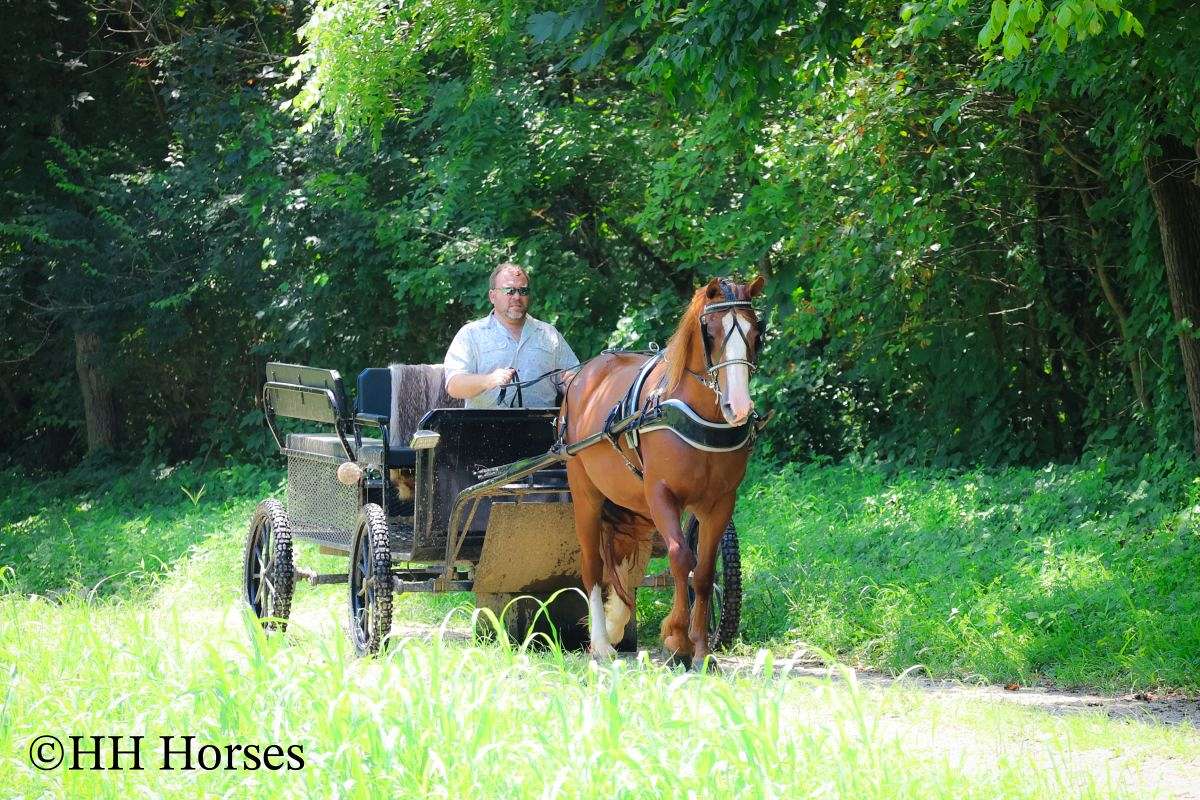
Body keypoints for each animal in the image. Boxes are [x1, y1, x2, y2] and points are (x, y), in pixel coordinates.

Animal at [560, 275, 766, 667]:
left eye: (756, 333)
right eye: (710, 333)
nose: (739, 406)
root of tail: (581, 376)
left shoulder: (720, 502)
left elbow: (702, 571)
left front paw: (701, 650)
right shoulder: (661, 494)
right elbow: (680, 558)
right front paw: (677, 642)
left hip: (631, 503)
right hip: (585, 492)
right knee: (593, 565)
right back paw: (601, 643)